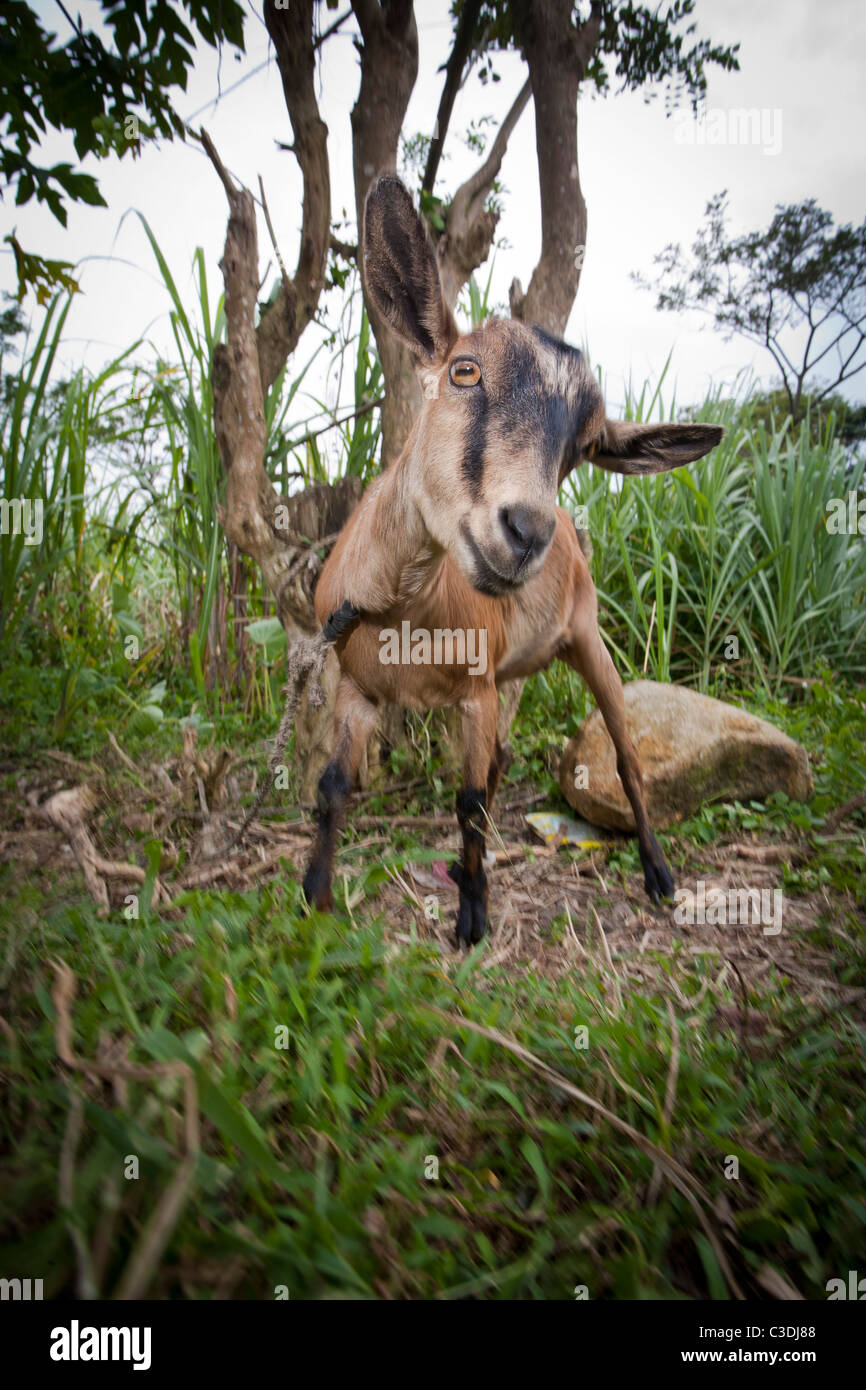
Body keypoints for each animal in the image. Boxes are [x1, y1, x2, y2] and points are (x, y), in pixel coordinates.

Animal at [302, 177, 722, 947]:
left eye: (584, 448)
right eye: (464, 371)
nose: (526, 531)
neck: (405, 607)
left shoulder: (474, 690)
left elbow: (467, 800)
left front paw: (471, 921)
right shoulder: (359, 689)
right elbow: (334, 785)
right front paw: (314, 897)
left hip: (587, 640)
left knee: (625, 756)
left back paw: (658, 875)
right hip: (514, 670)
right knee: (502, 758)